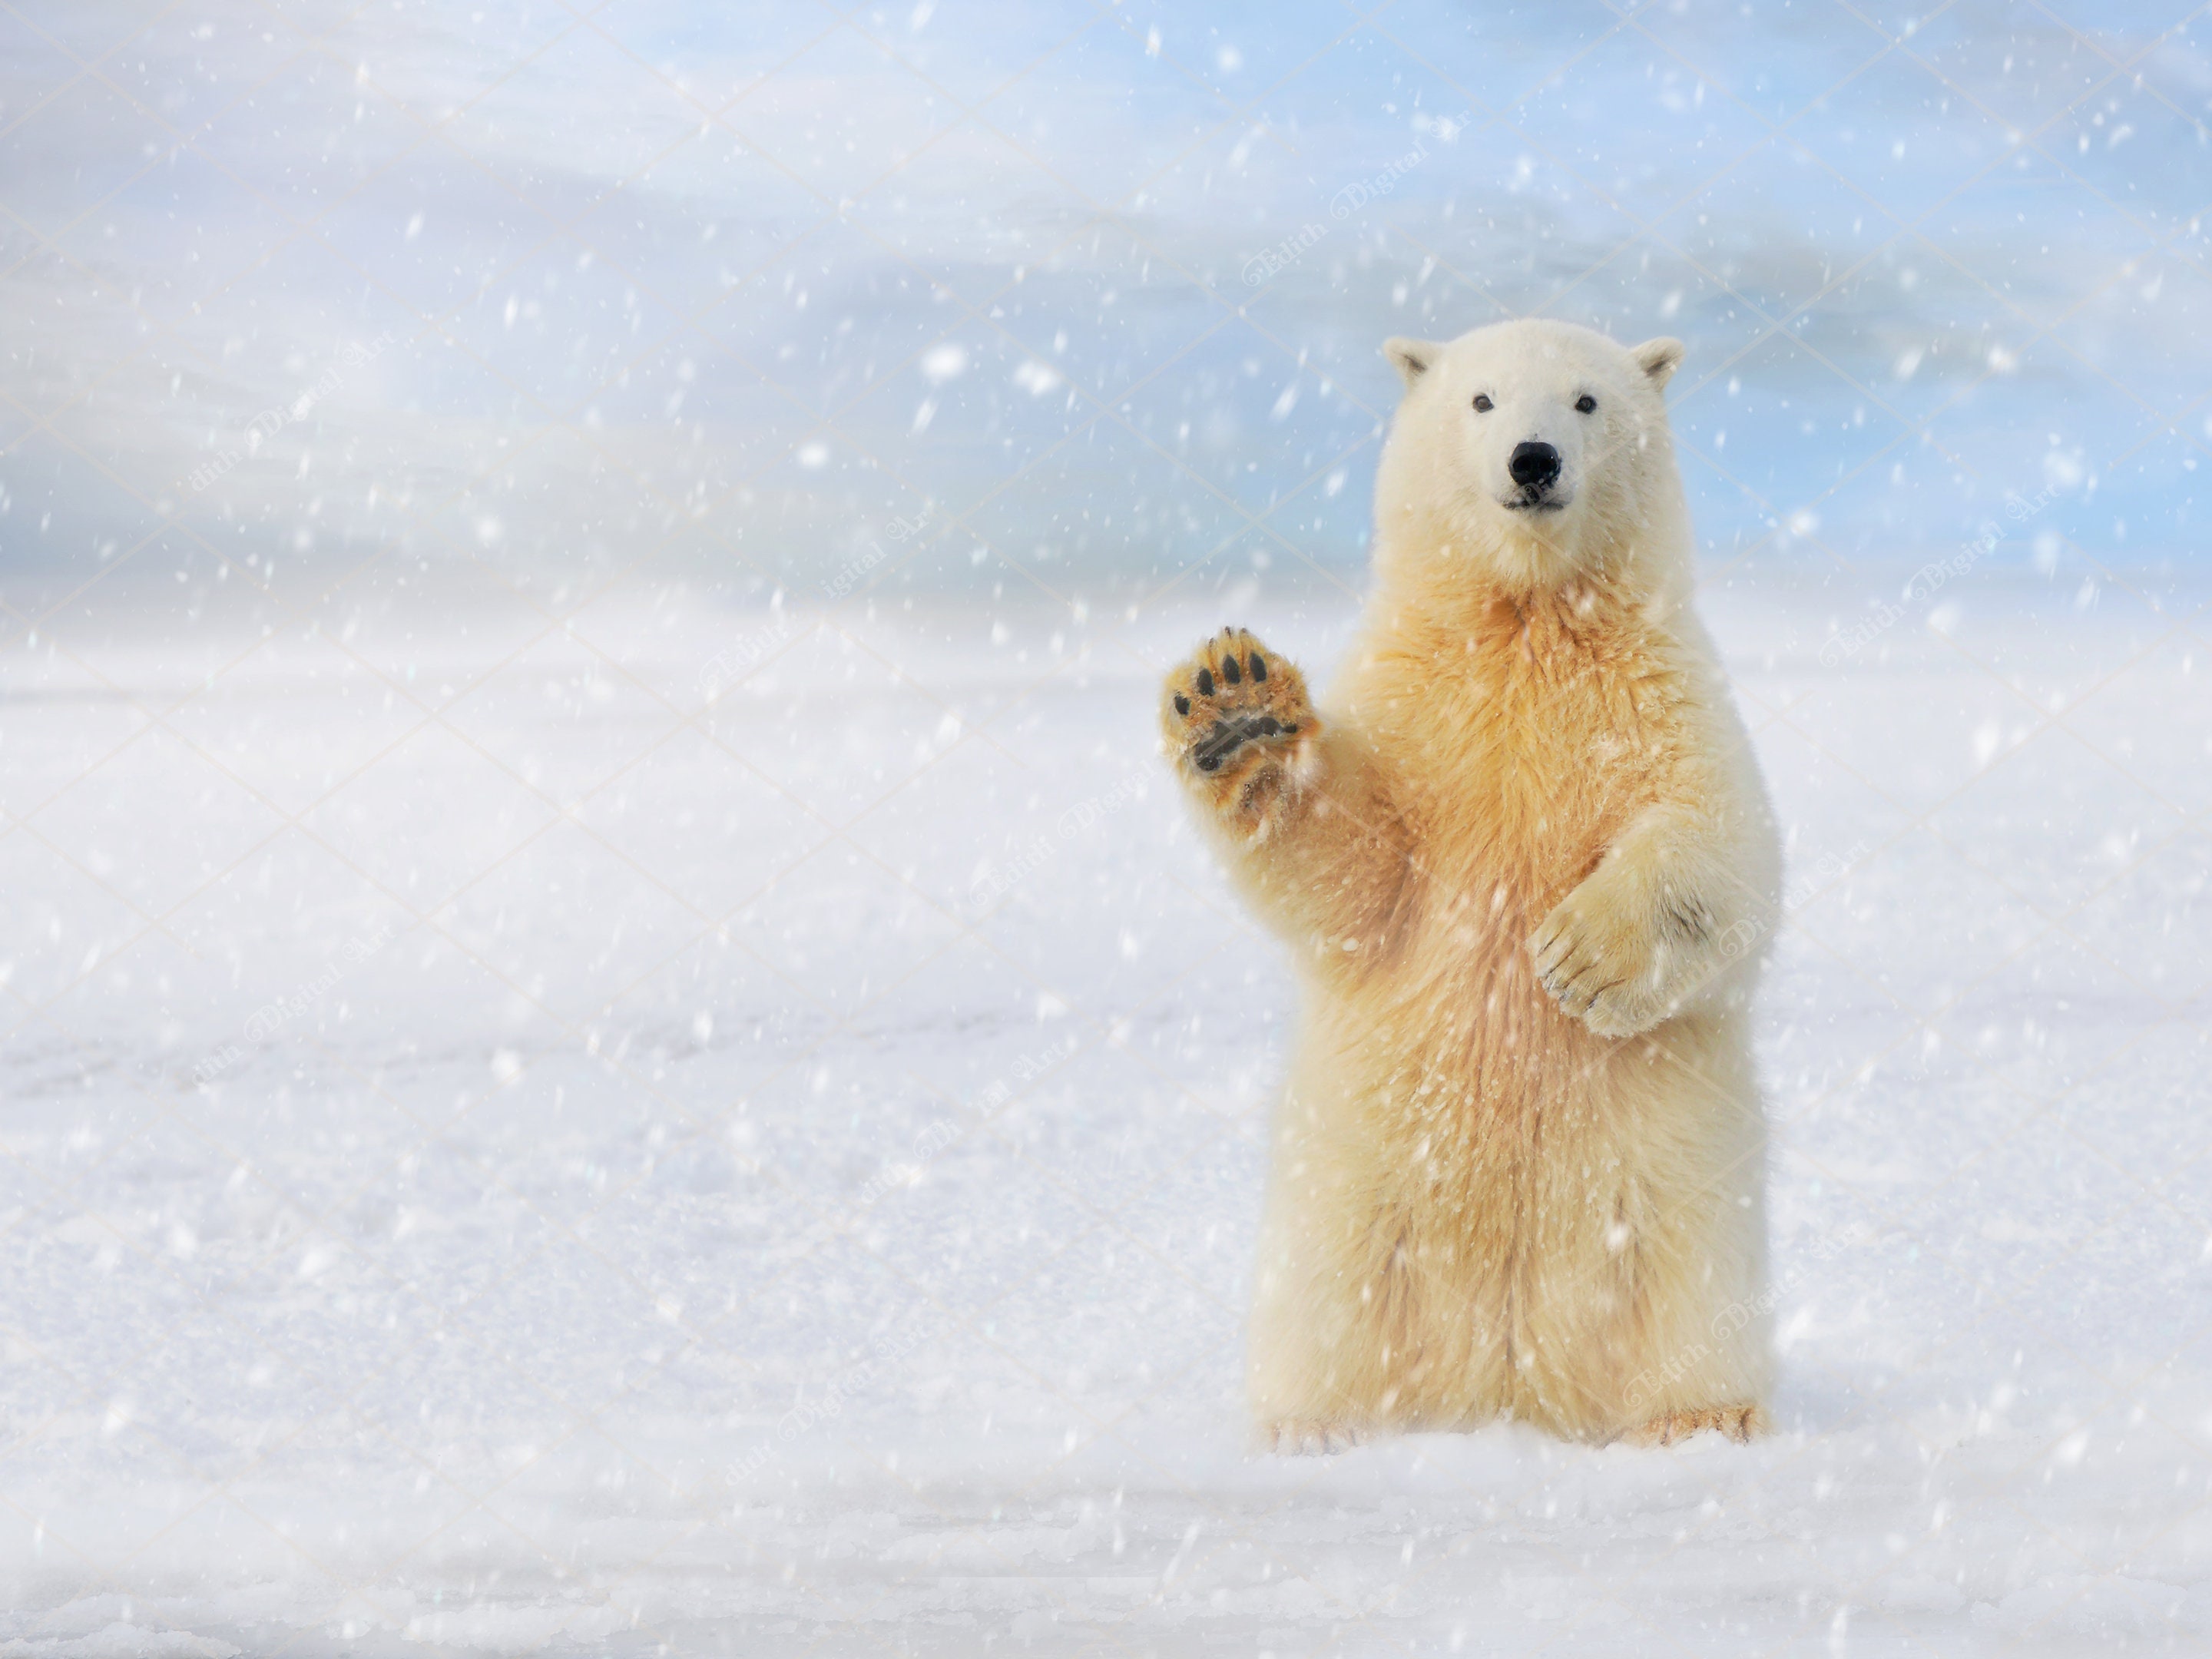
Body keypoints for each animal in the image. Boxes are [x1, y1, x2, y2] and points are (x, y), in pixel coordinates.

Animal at [1159, 318, 1781, 1452]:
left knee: (1683, 1285)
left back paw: (1699, 1417)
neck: (1527, 618)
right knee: (1334, 1292)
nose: (1532, 462)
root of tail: (1507, 1387)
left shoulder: (1665, 694)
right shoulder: (1417, 706)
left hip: (1676, 1176)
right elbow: (1359, 875)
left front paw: (1577, 958)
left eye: (1586, 400)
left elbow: (1725, 848)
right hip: (1353, 1176)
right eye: (1482, 400)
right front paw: (1236, 705)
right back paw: (1313, 1426)